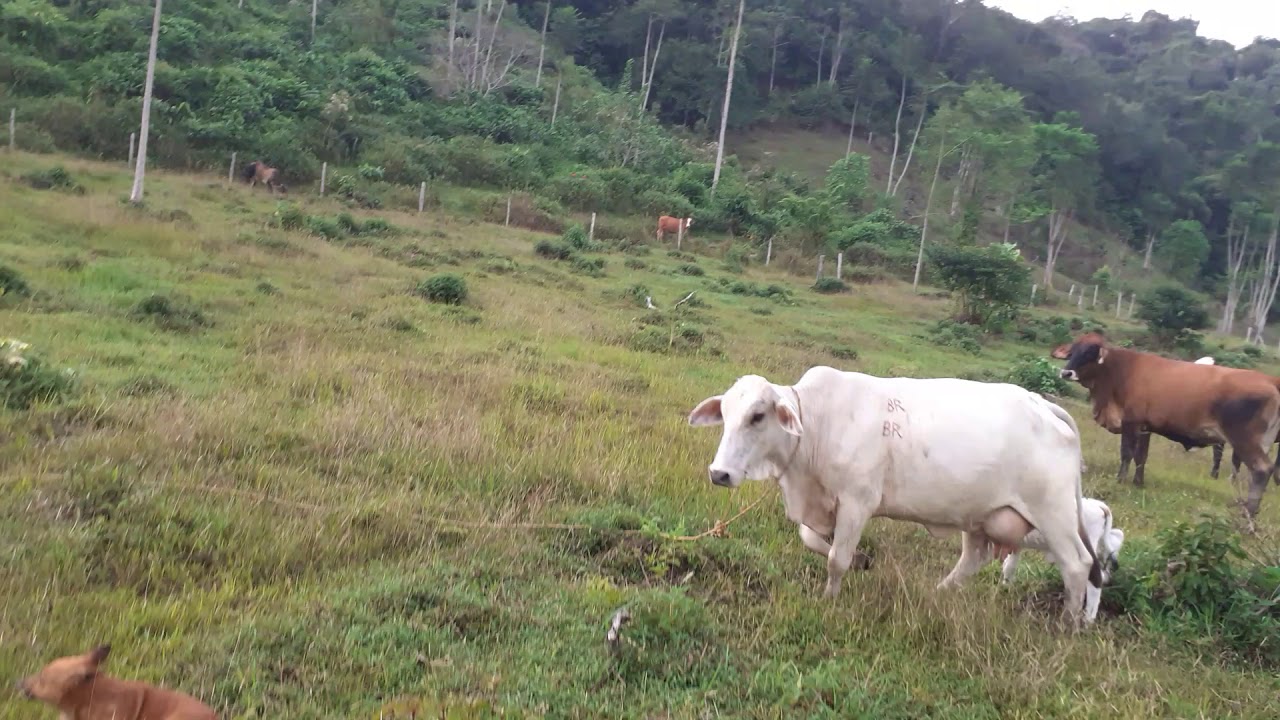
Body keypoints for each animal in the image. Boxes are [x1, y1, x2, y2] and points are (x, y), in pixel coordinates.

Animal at [688, 366, 1103, 624]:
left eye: (757, 416)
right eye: (725, 414)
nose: (719, 473)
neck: (817, 424)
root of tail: (1042, 404)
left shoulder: (858, 501)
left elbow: (836, 559)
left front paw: (830, 597)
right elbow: (814, 540)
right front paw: (862, 562)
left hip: (1054, 514)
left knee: (1077, 565)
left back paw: (1068, 624)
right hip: (979, 517)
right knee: (974, 558)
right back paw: (938, 593)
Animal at [1058, 333, 1280, 520]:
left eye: (1090, 352)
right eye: (1073, 350)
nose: (1066, 372)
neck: (1119, 371)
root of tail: (1271, 381)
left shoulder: (1130, 422)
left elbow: (1126, 453)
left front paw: (1120, 480)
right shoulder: (1145, 427)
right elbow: (1141, 456)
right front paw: (1138, 482)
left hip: (1244, 439)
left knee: (1261, 470)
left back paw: (1248, 514)